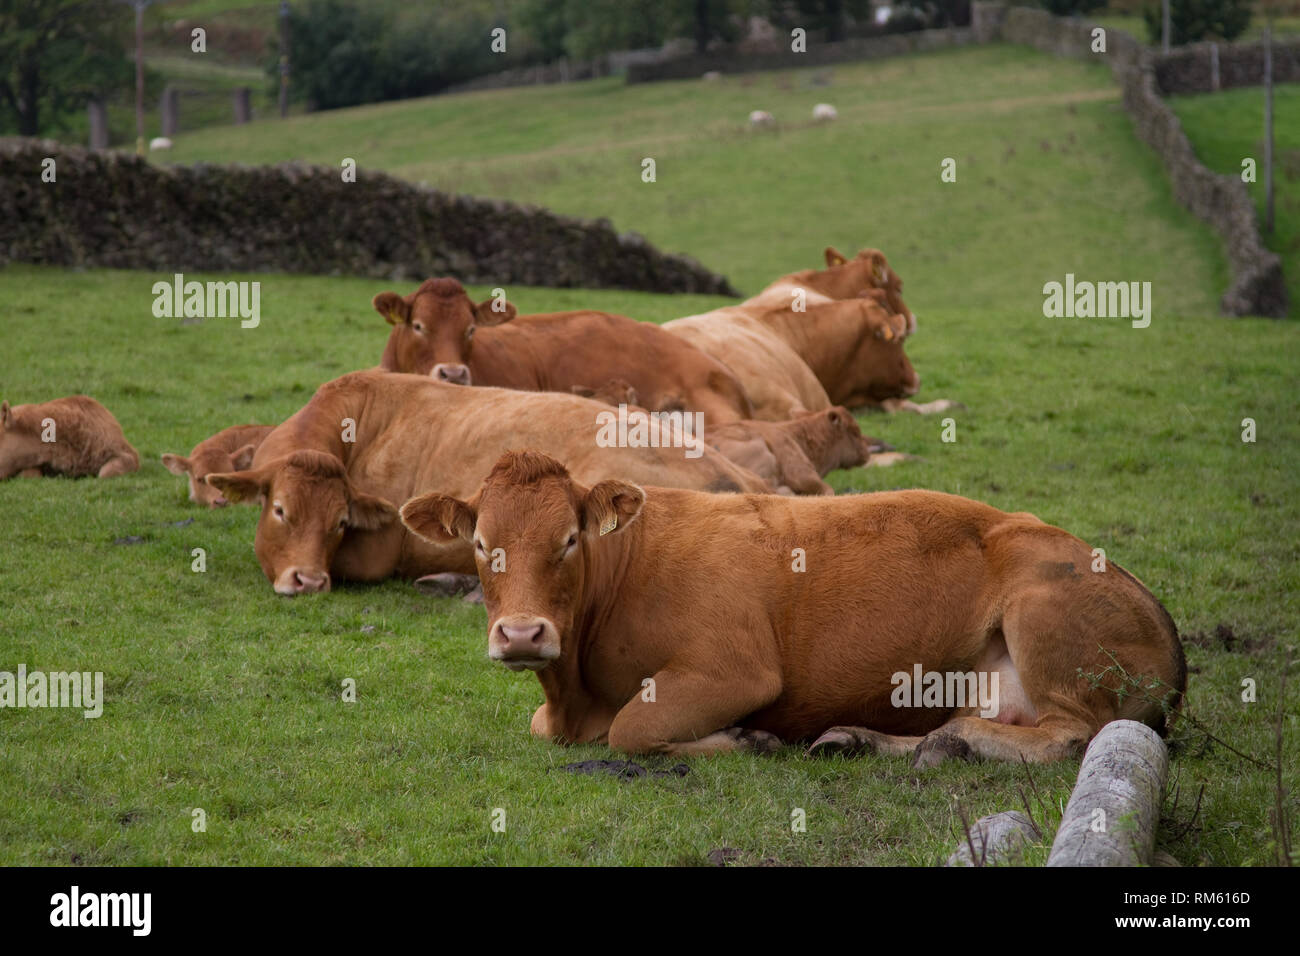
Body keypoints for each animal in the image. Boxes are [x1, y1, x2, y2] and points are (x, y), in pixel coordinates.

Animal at [400, 451, 1186, 765]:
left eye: (568, 539)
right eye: (480, 543)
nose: (521, 634)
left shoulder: (735, 671)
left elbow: (633, 729)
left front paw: (746, 739)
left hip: (1041, 610)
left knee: (1072, 735)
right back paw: (863, 739)